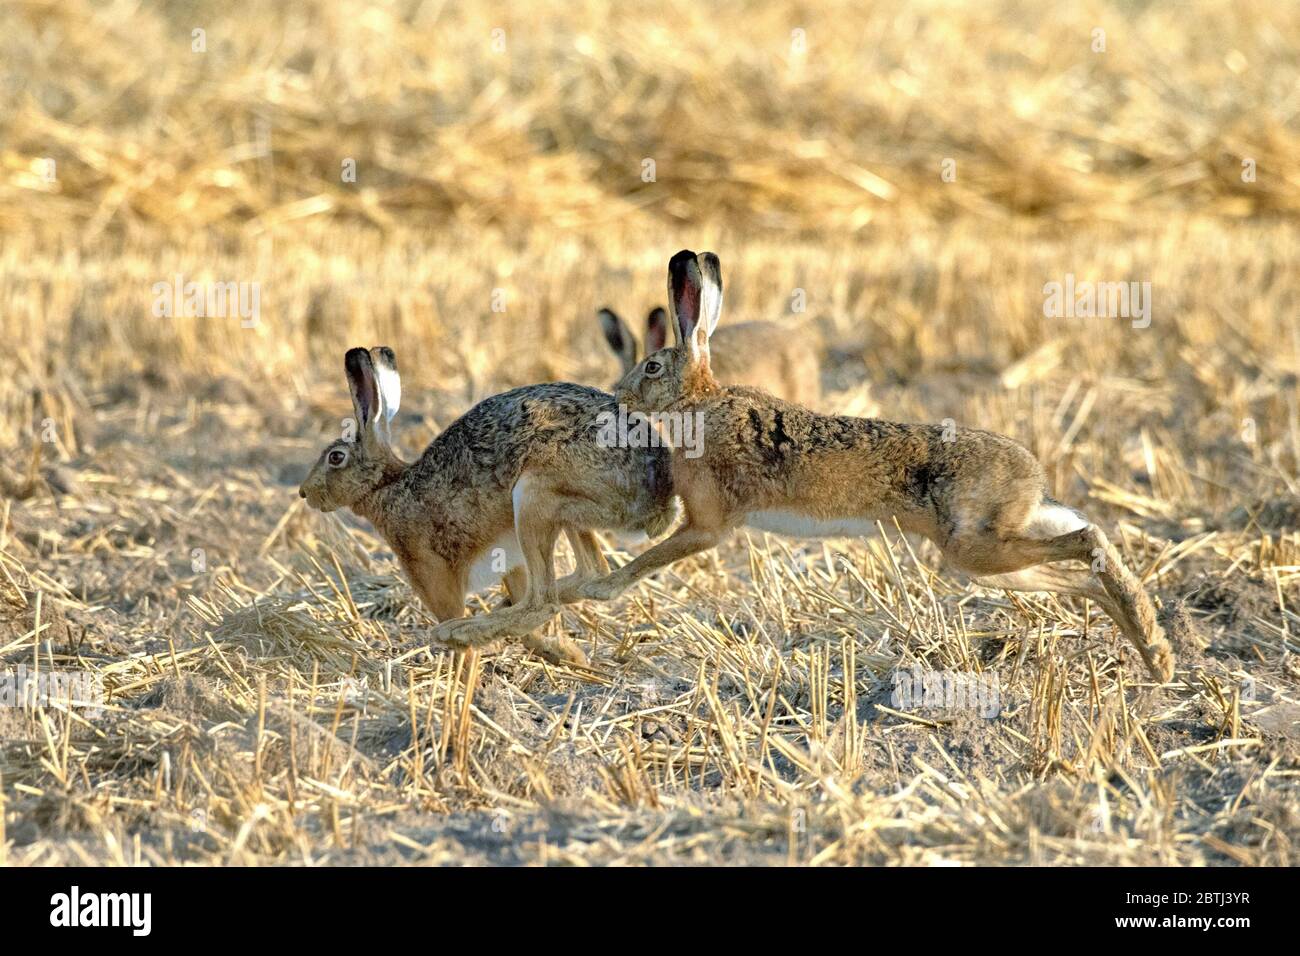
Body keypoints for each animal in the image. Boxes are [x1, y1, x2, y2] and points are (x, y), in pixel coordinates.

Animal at [298, 347, 678, 663]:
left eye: (335, 457)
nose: (304, 492)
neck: (387, 486)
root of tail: (659, 498)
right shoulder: (511, 562)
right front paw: (564, 653)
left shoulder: (430, 571)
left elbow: (458, 616)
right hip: (561, 513)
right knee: (587, 575)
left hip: (534, 494)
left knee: (544, 602)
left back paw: (459, 632)